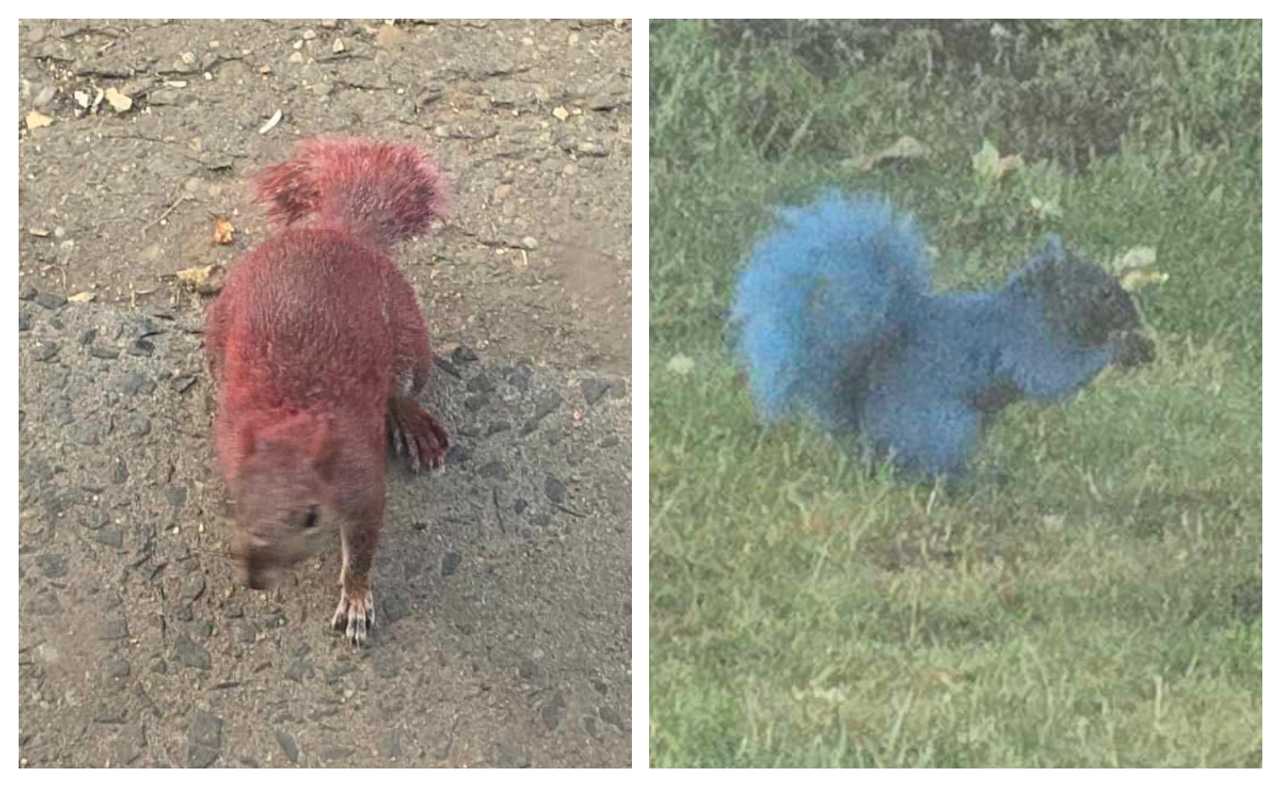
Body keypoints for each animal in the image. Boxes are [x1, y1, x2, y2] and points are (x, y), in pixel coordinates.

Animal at [204, 137, 449, 645]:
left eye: (310, 516)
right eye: (234, 502)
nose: (255, 579)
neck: (291, 415)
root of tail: (339, 232)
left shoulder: (363, 485)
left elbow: (362, 550)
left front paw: (355, 600)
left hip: (409, 336)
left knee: (404, 390)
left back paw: (413, 424)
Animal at [730, 191, 1154, 478]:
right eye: (1103, 292)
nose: (1134, 317)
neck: (1033, 311)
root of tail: (865, 435)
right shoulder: (1023, 344)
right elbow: (1052, 376)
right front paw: (1118, 347)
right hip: (948, 426)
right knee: (930, 469)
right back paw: (975, 482)